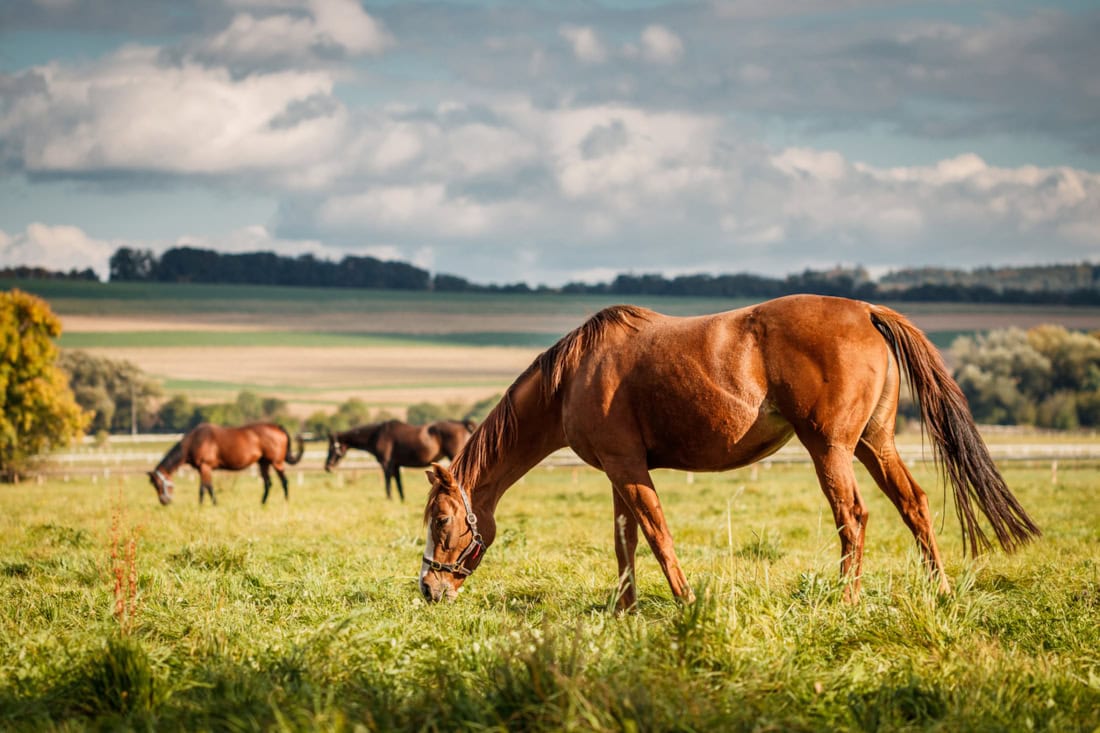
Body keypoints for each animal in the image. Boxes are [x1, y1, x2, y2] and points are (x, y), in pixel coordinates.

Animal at [148, 422, 304, 505]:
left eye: (159, 484)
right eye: (154, 485)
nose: (164, 501)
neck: (195, 441)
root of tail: (277, 428)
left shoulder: (205, 467)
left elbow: (206, 487)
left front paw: (209, 505)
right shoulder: (202, 469)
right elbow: (205, 487)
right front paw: (206, 504)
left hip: (276, 463)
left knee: (284, 481)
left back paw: (285, 501)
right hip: (263, 463)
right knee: (268, 483)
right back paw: (262, 503)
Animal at [325, 419, 476, 501]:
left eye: (332, 447)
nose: (328, 467)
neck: (378, 434)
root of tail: (463, 424)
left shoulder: (386, 464)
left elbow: (388, 483)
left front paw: (389, 499)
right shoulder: (396, 465)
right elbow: (399, 484)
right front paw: (402, 500)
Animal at [420, 294, 1040, 609]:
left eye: (442, 521)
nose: (428, 588)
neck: (575, 375)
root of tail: (866, 311)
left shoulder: (629, 468)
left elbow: (658, 536)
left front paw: (687, 603)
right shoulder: (618, 473)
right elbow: (625, 542)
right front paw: (624, 610)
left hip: (831, 449)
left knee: (853, 516)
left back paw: (846, 601)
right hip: (874, 443)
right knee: (913, 505)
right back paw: (940, 591)